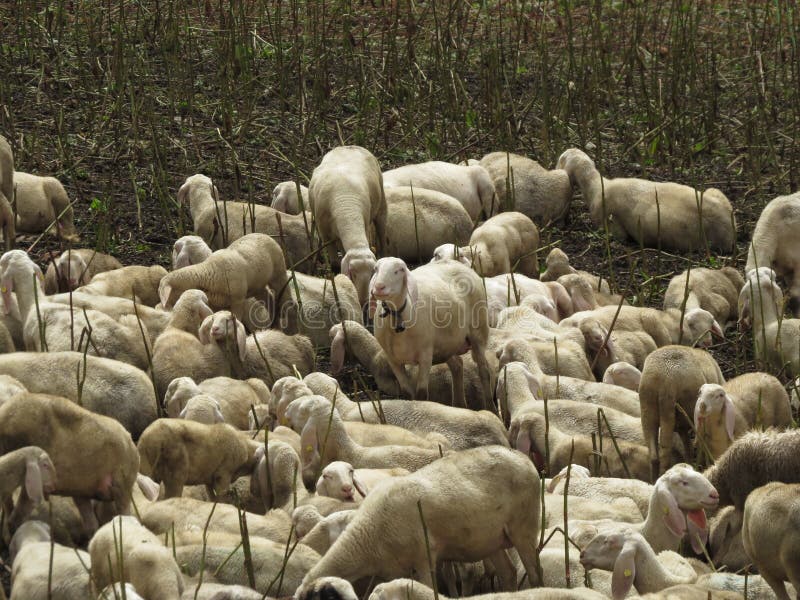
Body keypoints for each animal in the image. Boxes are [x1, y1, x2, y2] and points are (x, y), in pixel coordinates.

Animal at [295, 446, 541, 593]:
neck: (369, 534)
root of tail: (522, 457)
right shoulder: (397, 570)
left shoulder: (425, 557)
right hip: (491, 539)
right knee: (508, 573)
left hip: (524, 527)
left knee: (535, 572)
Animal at [309, 146, 387, 304]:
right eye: (352, 273)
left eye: (372, 273)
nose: (363, 302)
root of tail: (347, 146)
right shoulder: (324, 233)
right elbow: (334, 263)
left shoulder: (365, 223)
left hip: (380, 201)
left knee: (382, 229)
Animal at [369, 257, 493, 408]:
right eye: (376, 269)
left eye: (399, 270)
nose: (379, 287)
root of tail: (457, 263)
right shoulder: (393, 360)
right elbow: (407, 393)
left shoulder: (425, 355)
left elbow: (422, 394)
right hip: (446, 344)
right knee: (457, 365)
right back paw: (459, 405)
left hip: (478, 332)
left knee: (484, 371)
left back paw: (491, 407)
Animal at [639, 345, 724, 479]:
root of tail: (663, 378)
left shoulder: (682, 425)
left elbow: (688, 446)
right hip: (669, 405)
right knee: (665, 448)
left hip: (648, 405)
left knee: (653, 452)